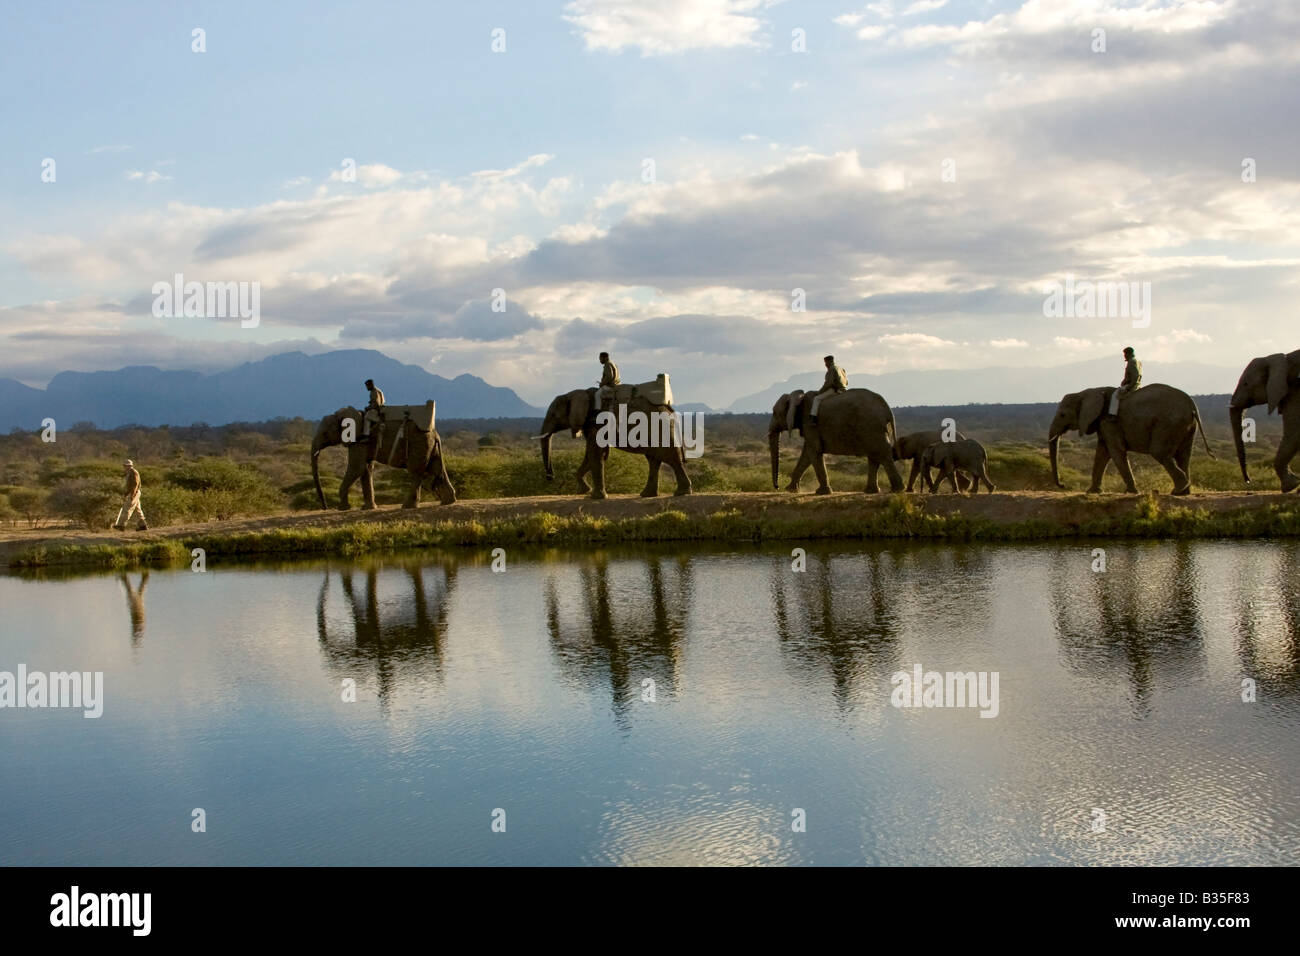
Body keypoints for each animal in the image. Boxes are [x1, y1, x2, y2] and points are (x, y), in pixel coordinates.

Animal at [311, 404, 456, 510]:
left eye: (325, 433)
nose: (325, 507)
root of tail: (435, 434)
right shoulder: (364, 444)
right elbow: (365, 470)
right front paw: (368, 508)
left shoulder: (359, 441)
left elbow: (356, 469)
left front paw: (343, 508)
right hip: (429, 446)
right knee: (436, 468)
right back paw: (448, 502)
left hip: (418, 444)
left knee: (417, 472)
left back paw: (407, 506)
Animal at [536, 388, 691, 499]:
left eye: (554, 415)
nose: (550, 477)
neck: (575, 393)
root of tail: (670, 410)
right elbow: (596, 454)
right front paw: (584, 491)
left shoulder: (596, 422)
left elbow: (594, 454)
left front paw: (594, 496)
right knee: (654, 459)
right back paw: (647, 495)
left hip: (659, 428)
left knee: (670, 457)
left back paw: (681, 493)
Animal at [769, 388, 905, 494]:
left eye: (775, 413)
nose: (777, 487)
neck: (798, 398)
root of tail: (887, 408)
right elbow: (807, 454)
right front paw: (791, 490)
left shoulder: (810, 423)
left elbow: (813, 452)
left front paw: (822, 492)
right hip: (874, 429)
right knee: (875, 455)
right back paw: (872, 491)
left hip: (872, 427)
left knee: (882, 454)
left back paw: (897, 490)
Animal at [1047, 384, 1213, 495]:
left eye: (1062, 414)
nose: (1063, 485)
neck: (1087, 392)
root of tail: (1192, 406)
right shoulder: (1103, 424)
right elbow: (1102, 452)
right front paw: (1093, 492)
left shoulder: (1109, 422)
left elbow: (1115, 451)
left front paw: (1131, 492)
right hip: (1186, 426)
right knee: (1183, 456)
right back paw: (1184, 492)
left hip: (1169, 423)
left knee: (1159, 452)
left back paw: (1178, 490)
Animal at [1229, 350, 1300, 491]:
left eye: (1245, 384)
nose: (1249, 480)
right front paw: (1293, 486)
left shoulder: (1296, 391)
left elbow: (1294, 433)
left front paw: (1290, 486)